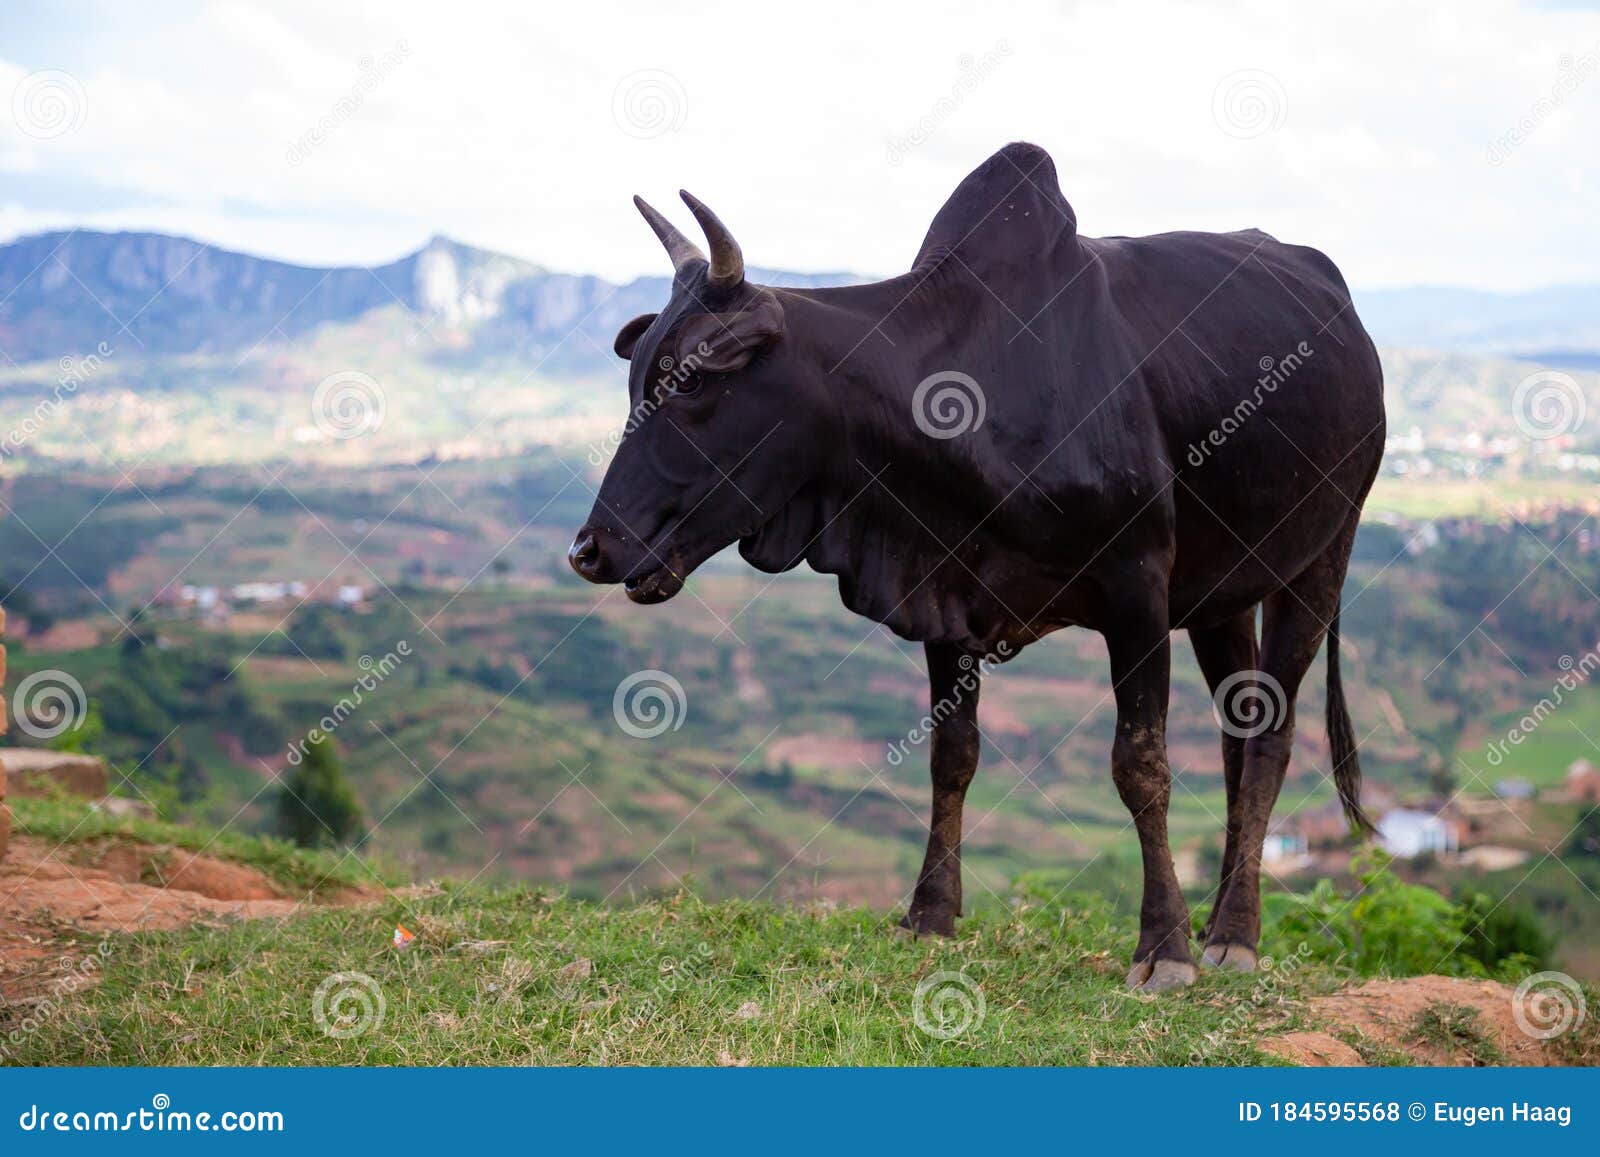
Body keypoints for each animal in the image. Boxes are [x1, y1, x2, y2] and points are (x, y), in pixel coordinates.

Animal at [568, 142, 1385, 992]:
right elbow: (951, 756)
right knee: (1238, 727)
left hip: (1323, 553)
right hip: (1223, 591)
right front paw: (929, 913)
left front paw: (1164, 946)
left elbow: (1141, 764)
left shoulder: (1137, 591)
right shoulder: (942, 597)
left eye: (693, 377)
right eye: (636, 377)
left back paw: (1232, 934)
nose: (591, 548)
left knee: (1272, 738)